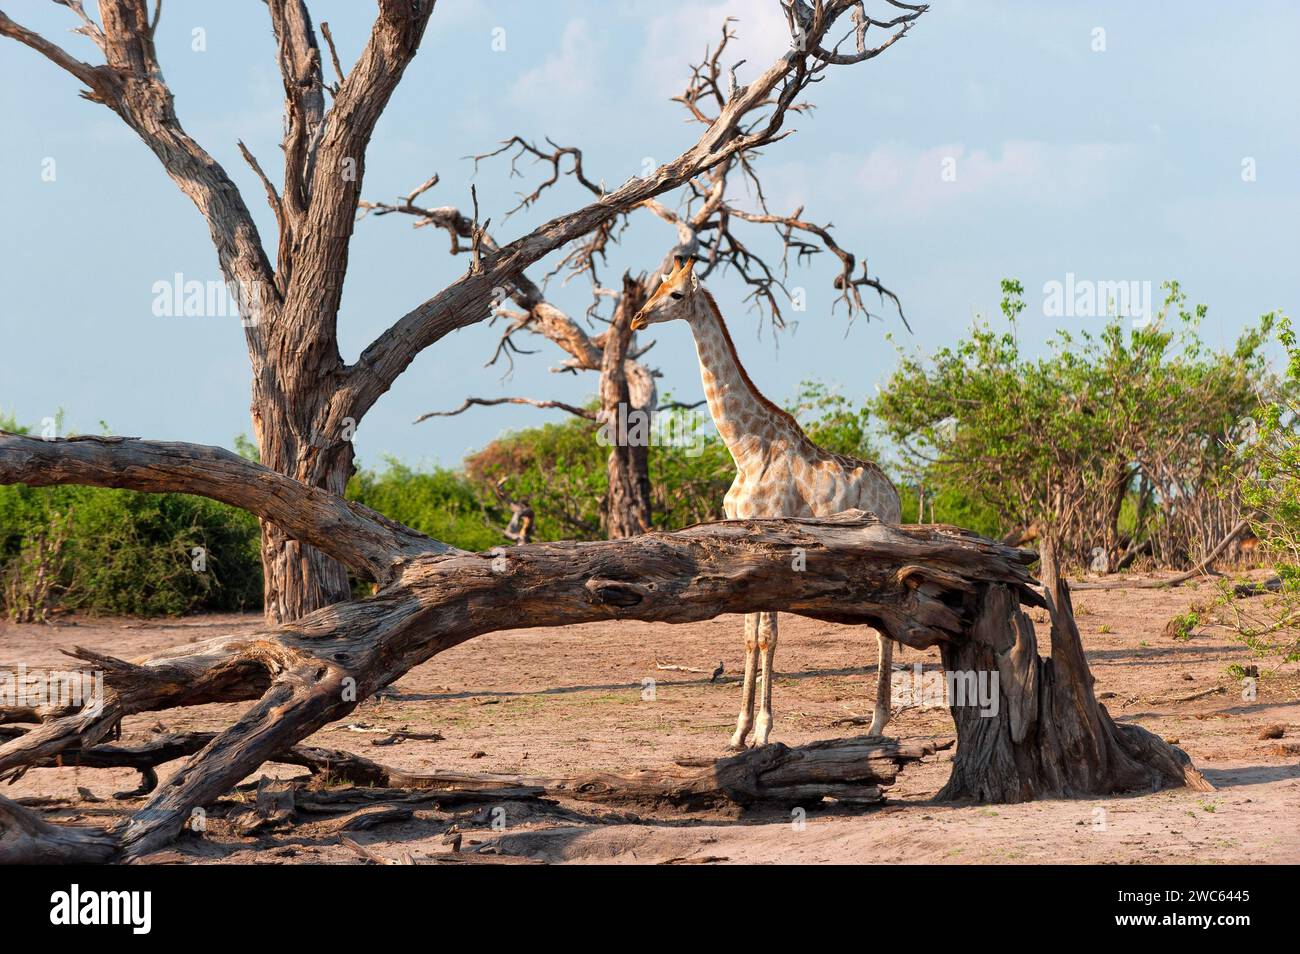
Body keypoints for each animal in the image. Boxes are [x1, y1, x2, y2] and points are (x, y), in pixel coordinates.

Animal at [632, 256, 902, 749]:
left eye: (676, 294)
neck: (745, 448)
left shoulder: (778, 543)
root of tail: (894, 493)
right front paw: (737, 731)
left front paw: (762, 730)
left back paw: (876, 723)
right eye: (656, 287)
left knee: (884, 630)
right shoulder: (744, 543)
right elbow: (748, 634)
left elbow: (768, 636)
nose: (638, 317)